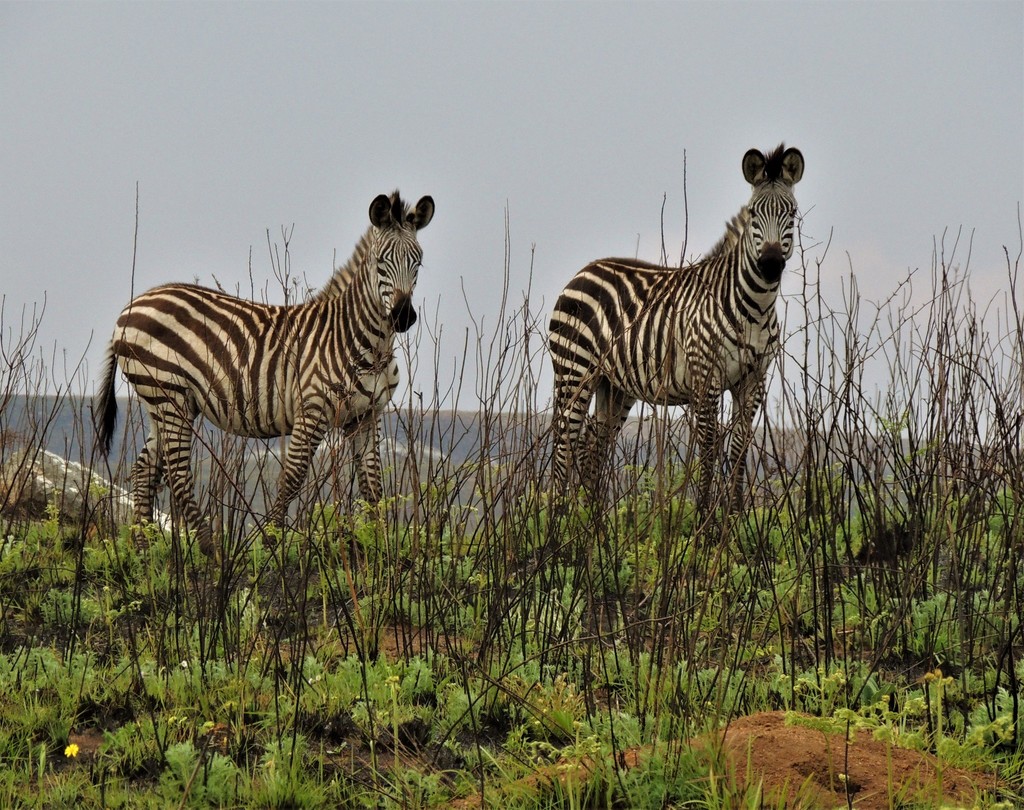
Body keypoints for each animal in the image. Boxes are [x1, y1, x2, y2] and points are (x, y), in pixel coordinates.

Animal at [95, 191, 434, 556]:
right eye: (380, 262)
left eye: (418, 262)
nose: (403, 317)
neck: (365, 341)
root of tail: (130, 308)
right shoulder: (312, 410)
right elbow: (292, 478)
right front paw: (271, 544)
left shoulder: (366, 416)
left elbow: (373, 486)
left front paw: (381, 550)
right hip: (167, 394)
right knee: (177, 474)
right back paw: (209, 549)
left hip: (166, 403)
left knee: (144, 470)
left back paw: (142, 550)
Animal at [548, 145, 804, 508]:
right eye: (754, 214)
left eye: (792, 215)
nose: (770, 265)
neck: (755, 308)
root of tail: (584, 270)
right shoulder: (706, 377)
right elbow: (710, 448)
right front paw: (704, 518)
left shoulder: (753, 381)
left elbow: (739, 449)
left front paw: (736, 518)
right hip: (575, 371)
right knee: (564, 446)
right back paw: (558, 522)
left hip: (613, 384)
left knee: (591, 449)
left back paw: (589, 521)